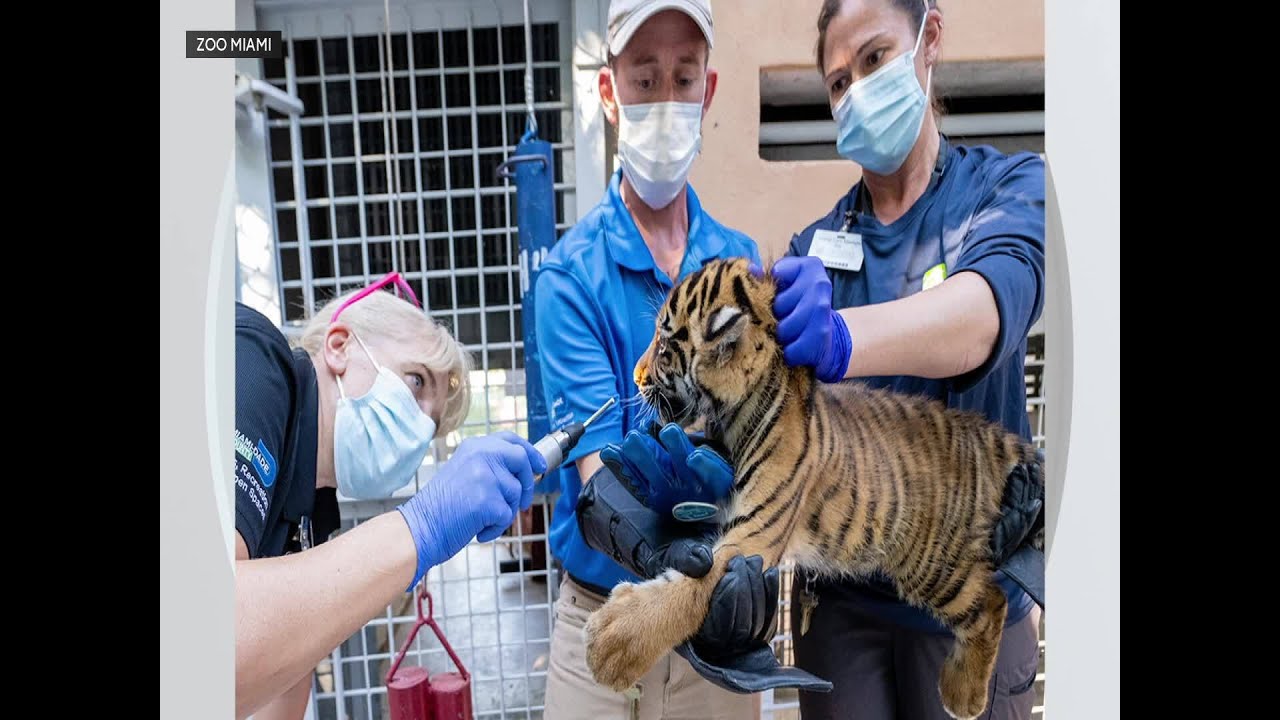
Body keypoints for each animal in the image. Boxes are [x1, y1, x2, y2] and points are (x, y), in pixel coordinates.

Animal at [582, 257, 1044, 720]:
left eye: (664, 345)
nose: (637, 376)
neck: (735, 412)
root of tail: (995, 439)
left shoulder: (754, 534)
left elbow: (693, 589)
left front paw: (610, 645)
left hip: (933, 565)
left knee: (992, 603)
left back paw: (962, 695)